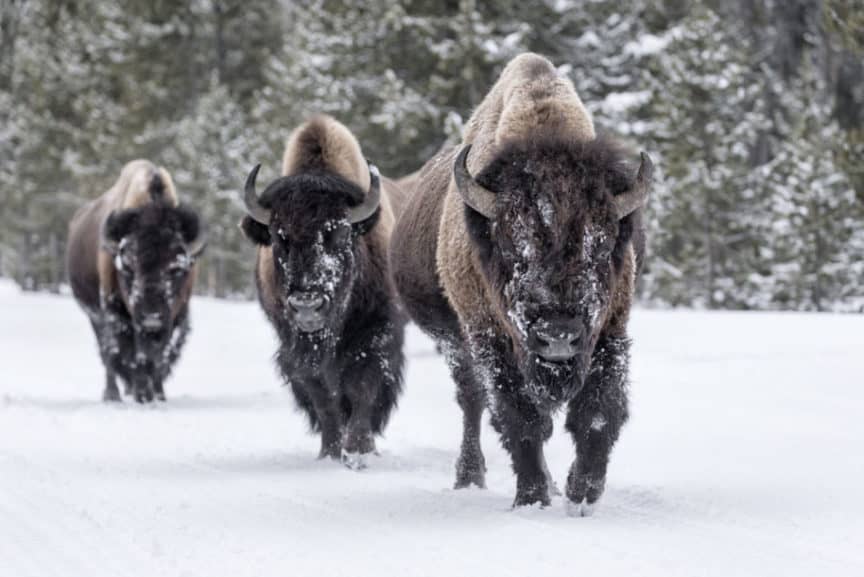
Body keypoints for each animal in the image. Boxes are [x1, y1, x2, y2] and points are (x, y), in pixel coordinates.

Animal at [67, 160, 206, 402]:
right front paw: (141, 393)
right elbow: (130, 353)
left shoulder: (175, 317)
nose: (151, 317)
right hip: (94, 315)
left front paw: (157, 395)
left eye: (177, 269)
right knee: (107, 352)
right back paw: (113, 394)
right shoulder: (116, 314)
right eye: (128, 268)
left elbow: (159, 356)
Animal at [240, 115, 406, 469]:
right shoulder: (295, 347)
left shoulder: (377, 333)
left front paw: (358, 449)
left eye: (340, 233)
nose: (307, 305)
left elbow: (362, 387)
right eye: (279, 236)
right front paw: (330, 451)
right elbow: (323, 396)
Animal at [390, 53, 653, 513]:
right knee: (472, 402)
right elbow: (519, 417)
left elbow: (598, 413)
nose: (558, 334)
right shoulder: (490, 339)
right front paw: (532, 497)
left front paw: (581, 492)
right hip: (455, 343)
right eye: (513, 245)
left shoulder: (610, 331)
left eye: (602, 244)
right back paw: (469, 476)